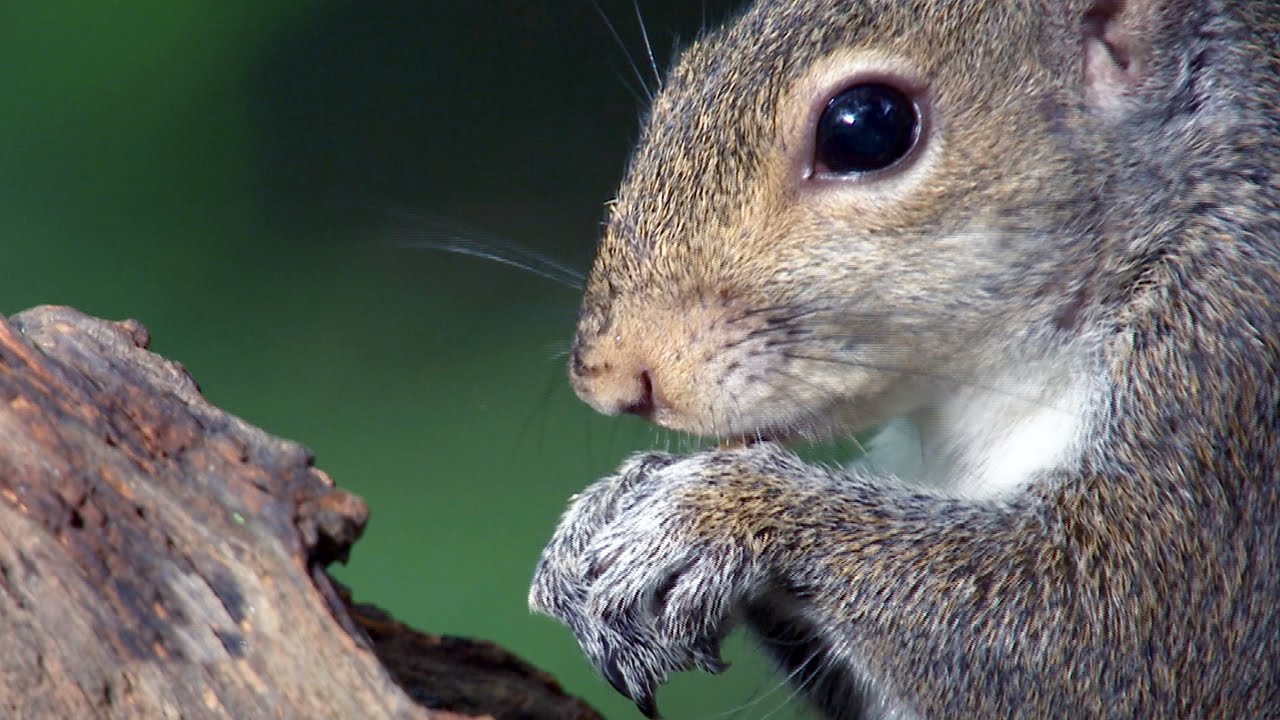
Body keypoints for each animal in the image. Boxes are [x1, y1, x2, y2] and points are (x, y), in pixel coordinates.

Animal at [529, 0, 1280, 718]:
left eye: (865, 128)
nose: (607, 376)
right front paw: (608, 504)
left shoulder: (1222, 398)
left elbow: (1092, 632)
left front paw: (717, 513)